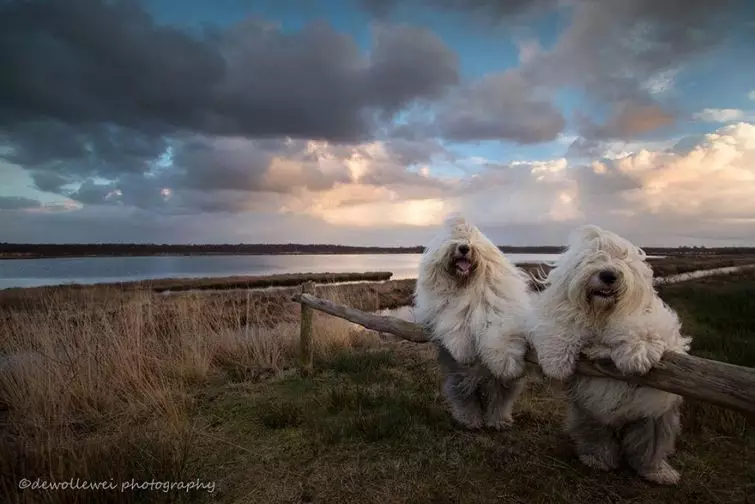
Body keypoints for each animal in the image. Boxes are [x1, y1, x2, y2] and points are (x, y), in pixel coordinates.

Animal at [414, 214, 532, 430]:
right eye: (454, 238)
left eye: (472, 239)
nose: (463, 247)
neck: (466, 285)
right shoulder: (445, 311)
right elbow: (455, 325)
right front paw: (465, 352)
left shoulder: (497, 310)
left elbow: (498, 333)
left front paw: (506, 364)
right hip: (458, 379)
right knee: (465, 398)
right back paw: (471, 420)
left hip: (502, 386)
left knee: (500, 399)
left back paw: (498, 421)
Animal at [528, 224, 692, 484]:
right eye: (592, 258)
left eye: (622, 258)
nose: (608, 275)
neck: (602, 315)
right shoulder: (556, 313)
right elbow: (561, 325)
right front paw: (556, 362)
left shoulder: (657, 325)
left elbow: (643, 329)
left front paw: (636, 356)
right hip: (589, 413)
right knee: (598, 436)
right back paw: (598, 459)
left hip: (655, 418)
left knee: (650, 447)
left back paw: (658, 472)